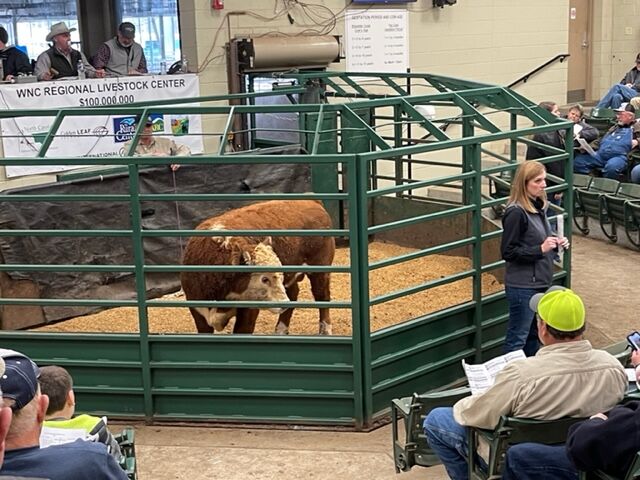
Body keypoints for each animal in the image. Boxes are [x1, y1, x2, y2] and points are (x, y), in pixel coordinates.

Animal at [180, 200, 336, 335]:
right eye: (264, 279)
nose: (283, 304)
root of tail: (311, 201)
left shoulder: (248, 312)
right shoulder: (198, 311)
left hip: (320, 270)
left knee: (322, 295)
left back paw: (325, 330)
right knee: (293, 293)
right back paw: (281, 329)